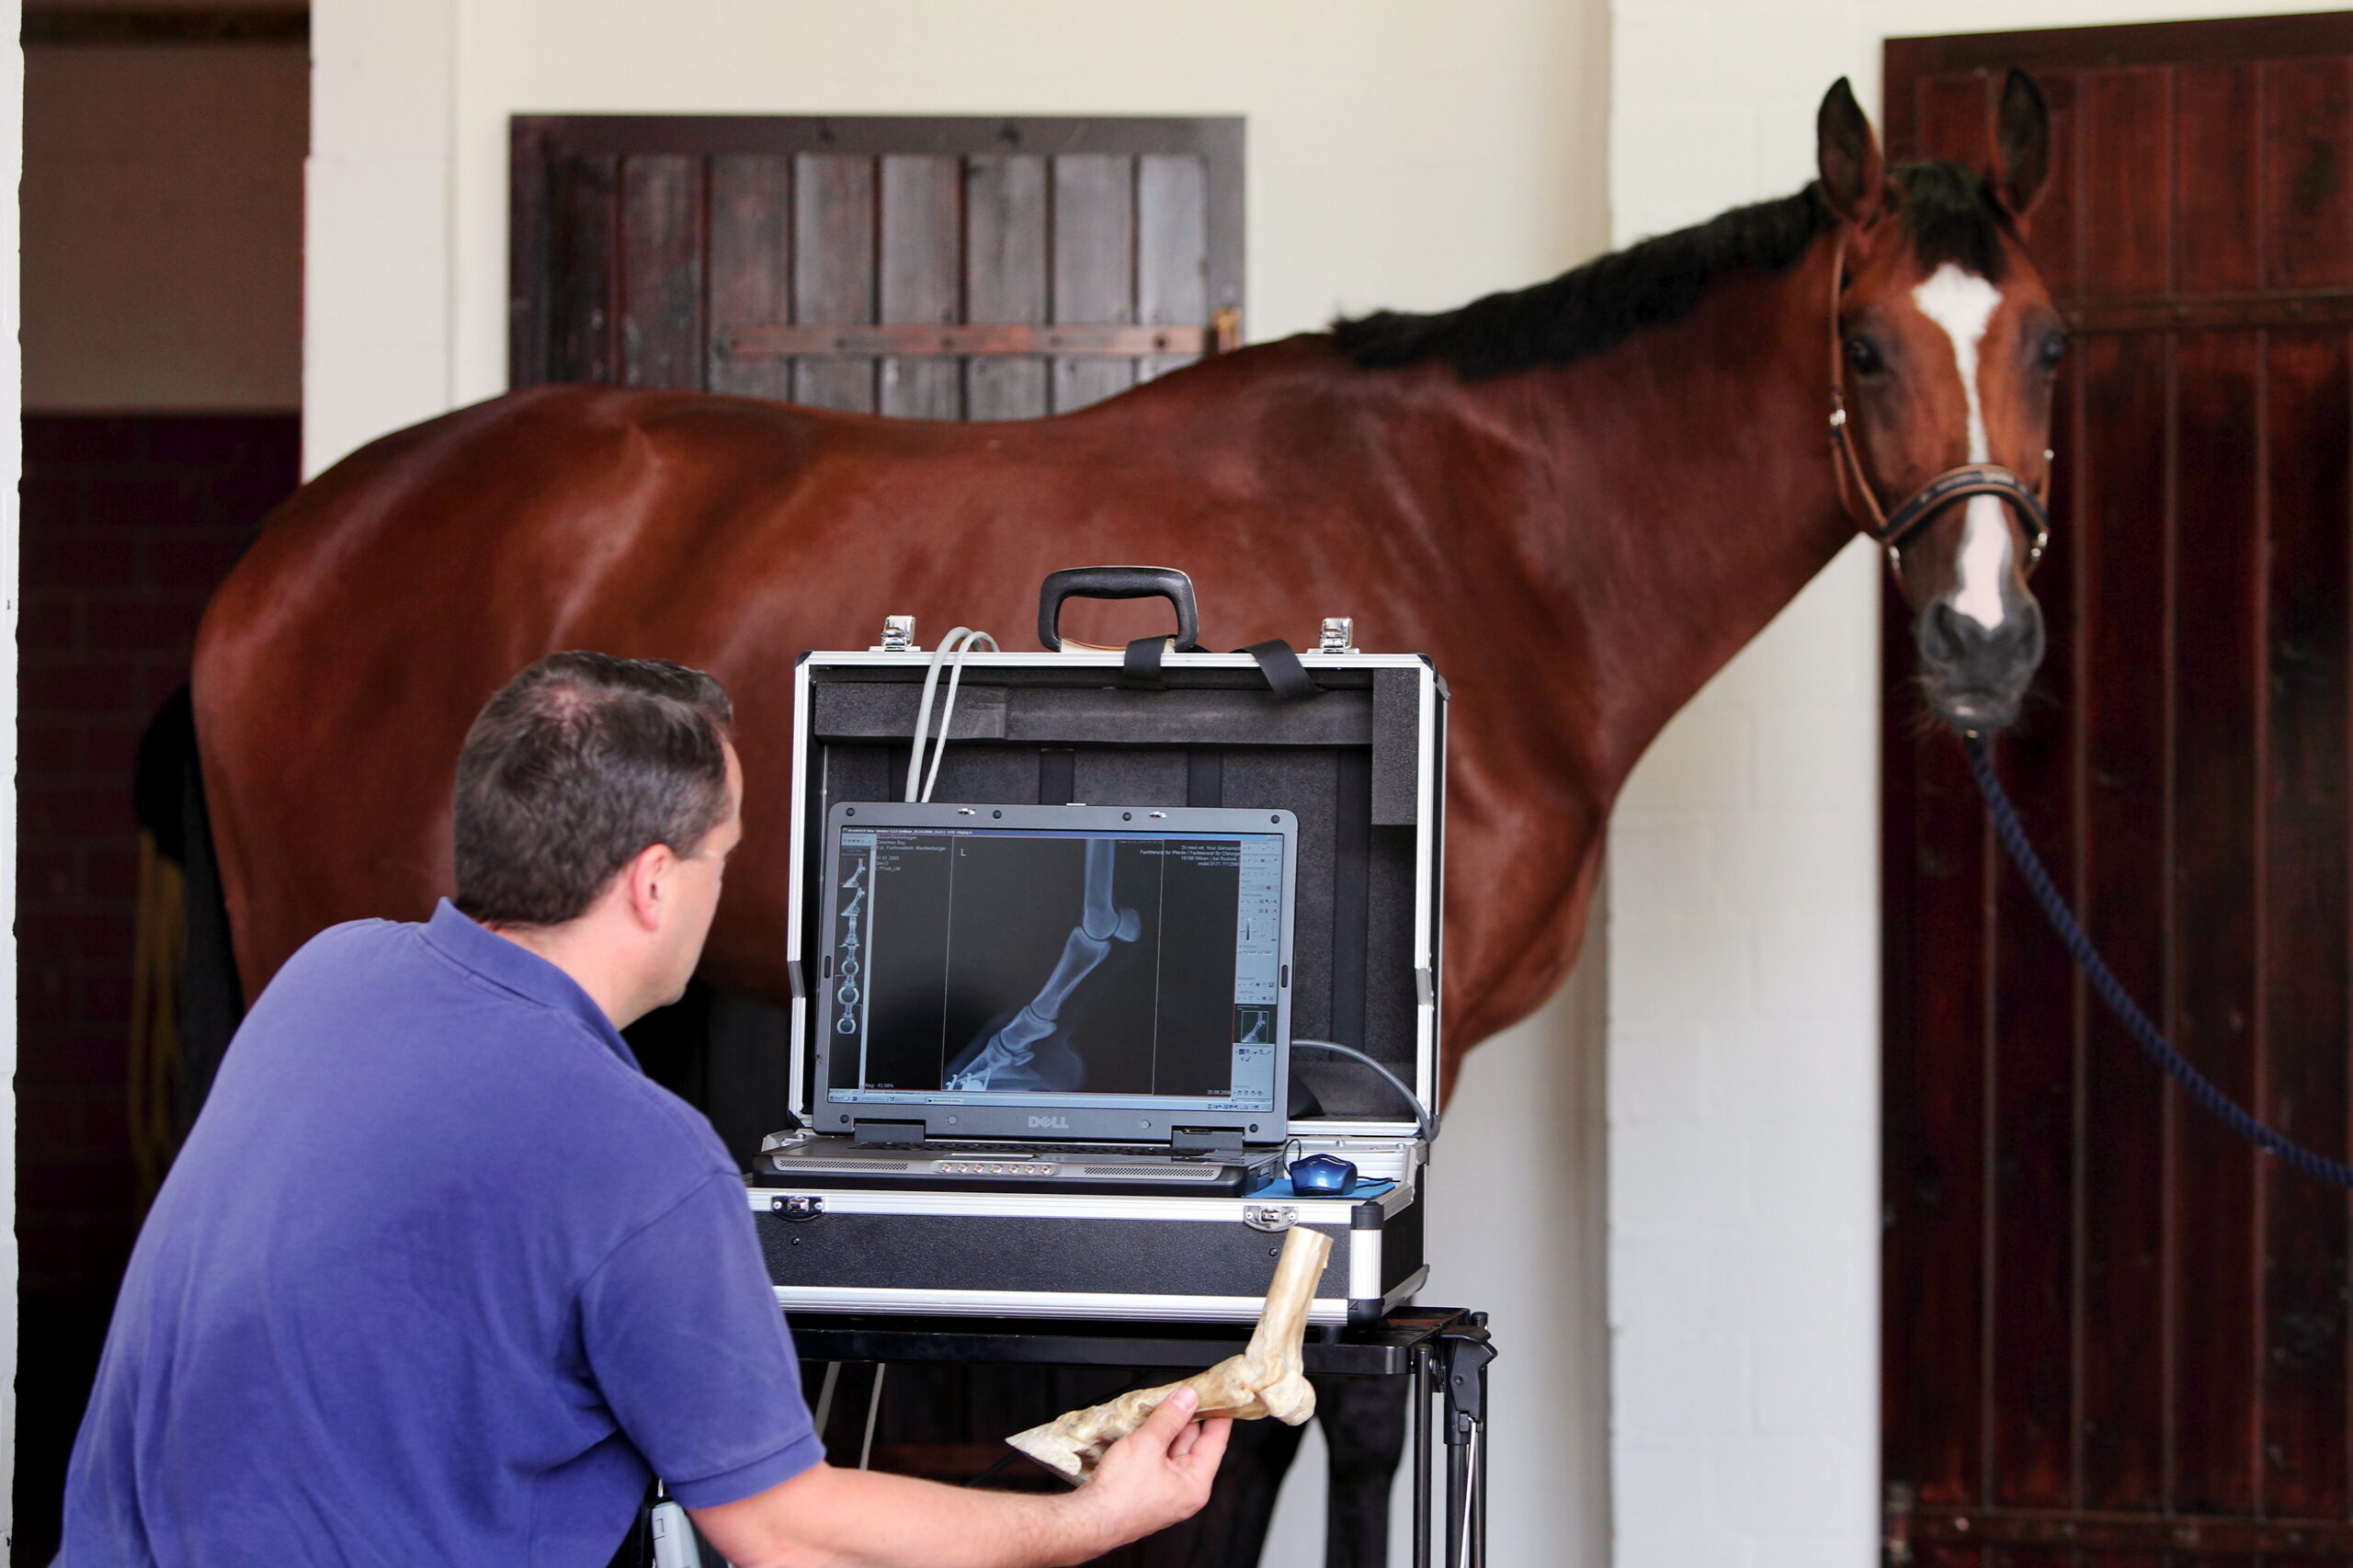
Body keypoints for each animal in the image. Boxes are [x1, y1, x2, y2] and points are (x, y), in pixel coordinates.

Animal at [183, 74, 2059, 1567]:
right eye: (1867, 342)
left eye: (2048, 338)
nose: (1987, 644)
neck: (1488, 534)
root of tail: (293, 548)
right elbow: (1320, 1430)